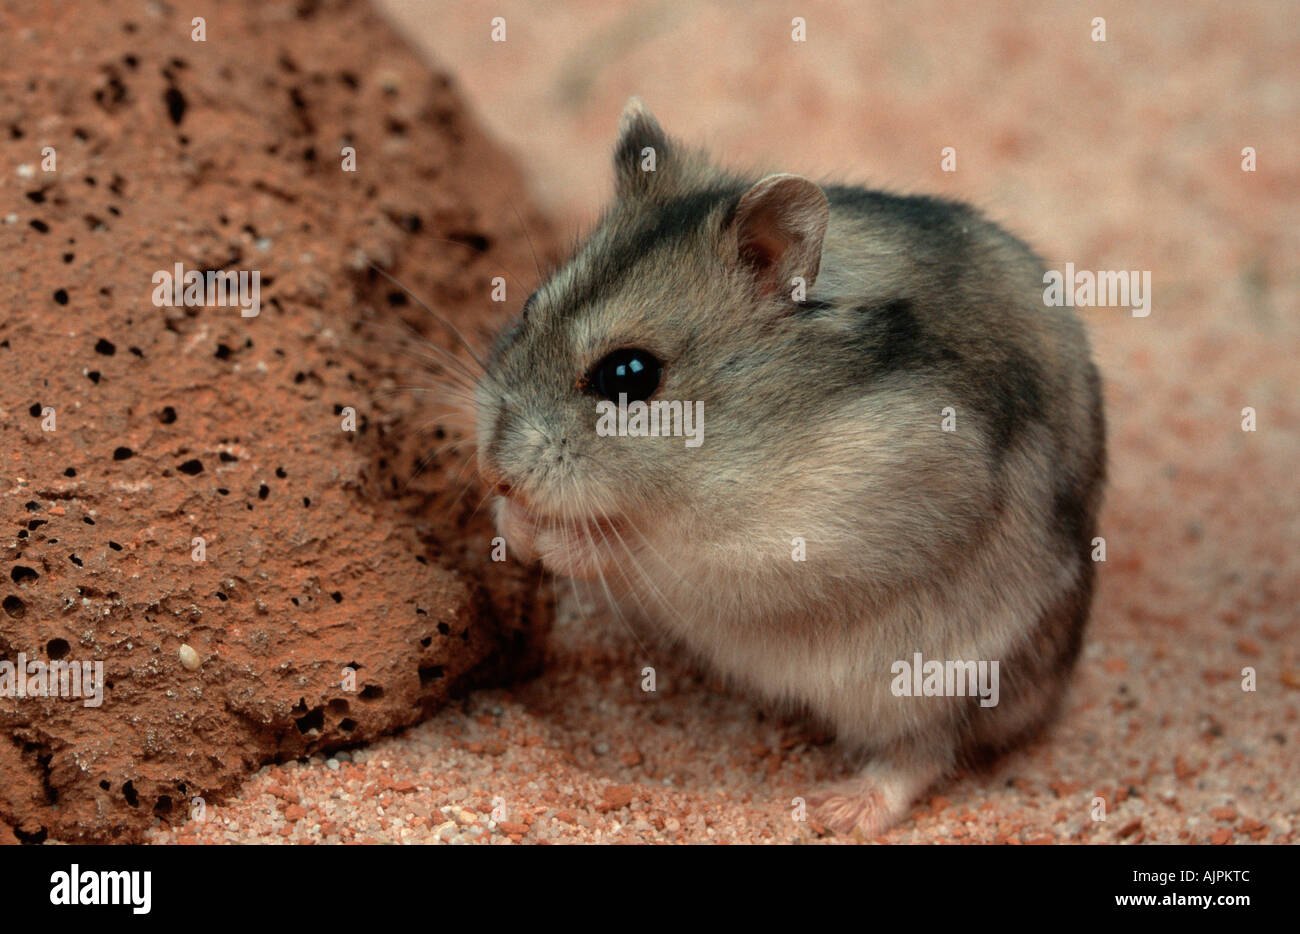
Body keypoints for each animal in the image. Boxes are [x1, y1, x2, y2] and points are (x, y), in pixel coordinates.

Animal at [473, 98, 1106, 837]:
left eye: (628, 375)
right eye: (527, 306)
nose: (494, 472)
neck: (745, 434)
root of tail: (1051, 690)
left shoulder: (790, 536)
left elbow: (636, 546)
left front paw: (548, 535)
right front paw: (510, 523)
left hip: (935, 678)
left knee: (922, 752)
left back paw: (840, 811)